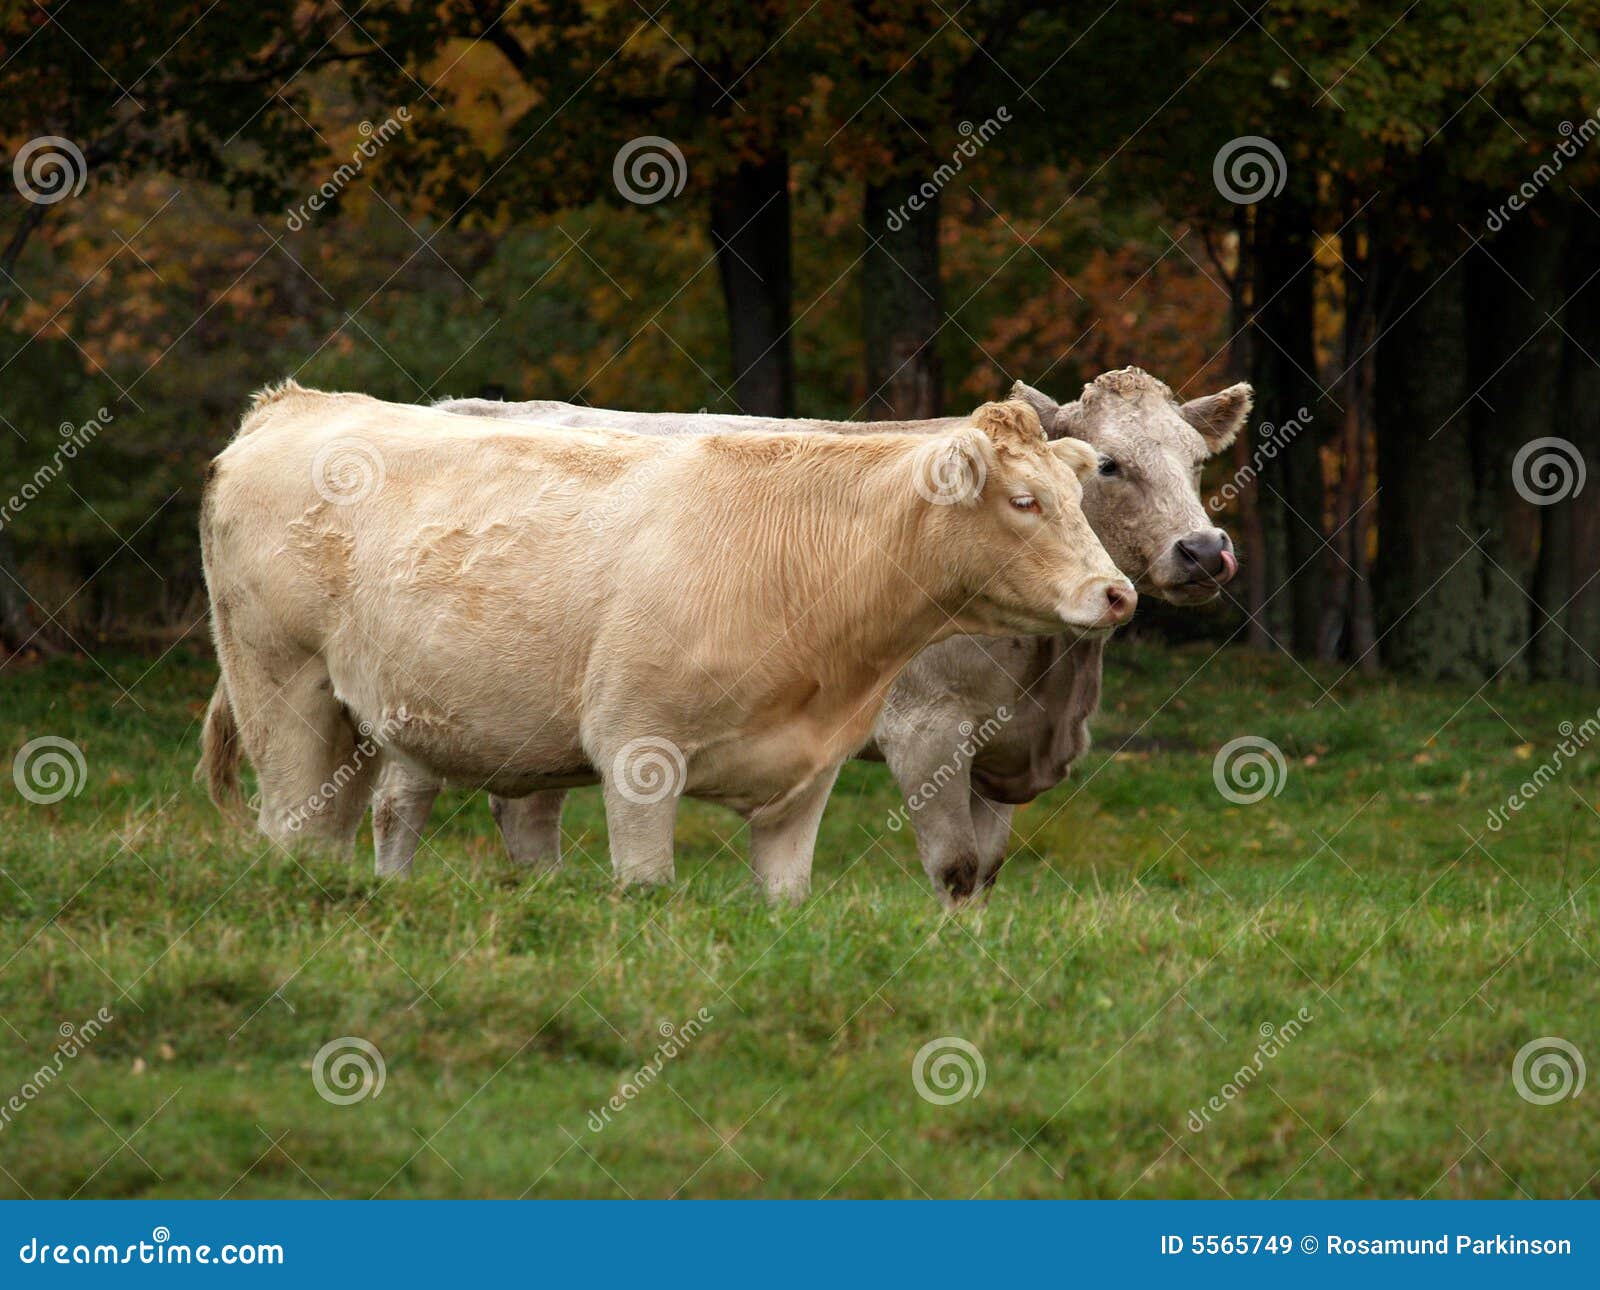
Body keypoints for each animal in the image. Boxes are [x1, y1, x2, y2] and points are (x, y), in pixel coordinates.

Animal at [196, 383, 1134, 901]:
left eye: (1077, 496)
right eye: (1024, 501)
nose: (1117, 592)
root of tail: (297, 402)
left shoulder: (806, 780)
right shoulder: (635, 752)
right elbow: (646, 884)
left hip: (355, 721)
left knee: (328, 837)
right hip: (284, 694)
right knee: (290, 825)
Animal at [428, 367, 1249, 903]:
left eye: (1197, 461)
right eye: (1109, 464)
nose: (1205, 551)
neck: (1052, 681)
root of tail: (464, 405)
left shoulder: (1004, 744)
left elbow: (986, 870)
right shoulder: (928, 731)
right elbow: (954, 866)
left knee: (527, 807)